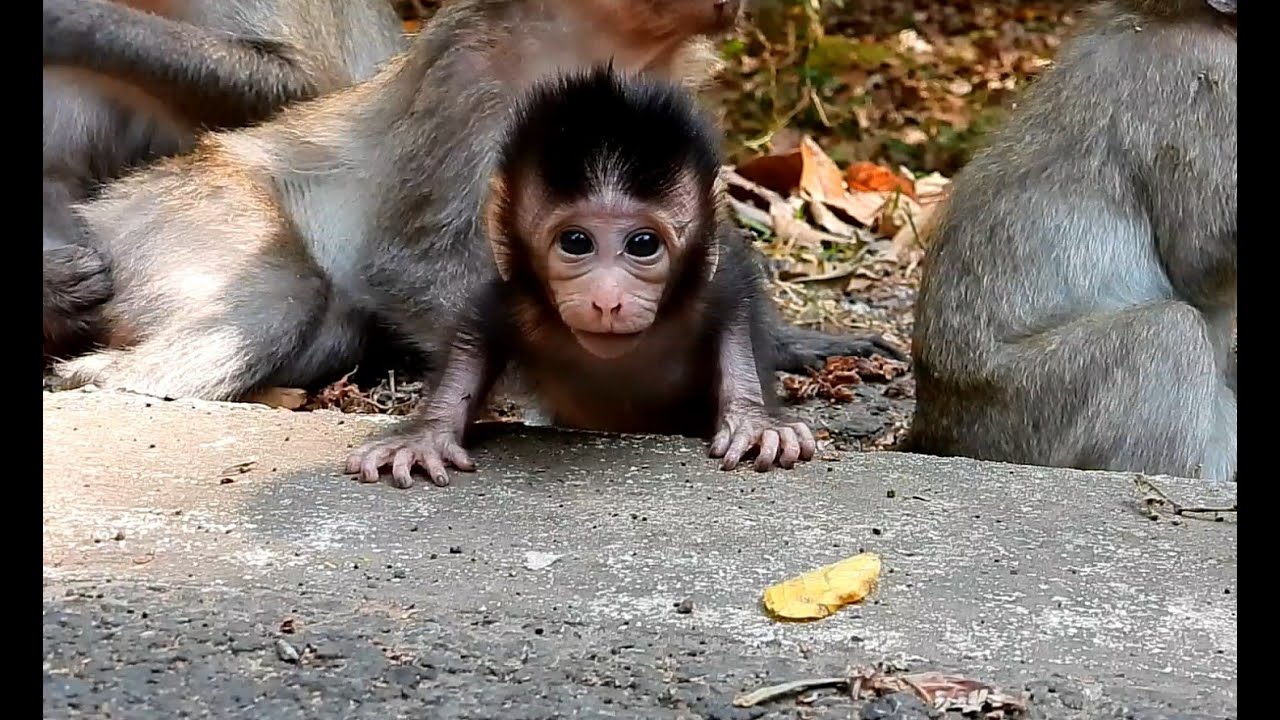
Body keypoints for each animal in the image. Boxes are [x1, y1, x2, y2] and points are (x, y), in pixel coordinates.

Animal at [349, 66, 817, 487]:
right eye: (576, 241)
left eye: (643, 244)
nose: (607, 299)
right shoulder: (515, 296)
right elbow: (473, 338)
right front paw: (425, 435)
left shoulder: (712, 282)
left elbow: (736, 313)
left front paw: (755, 420)